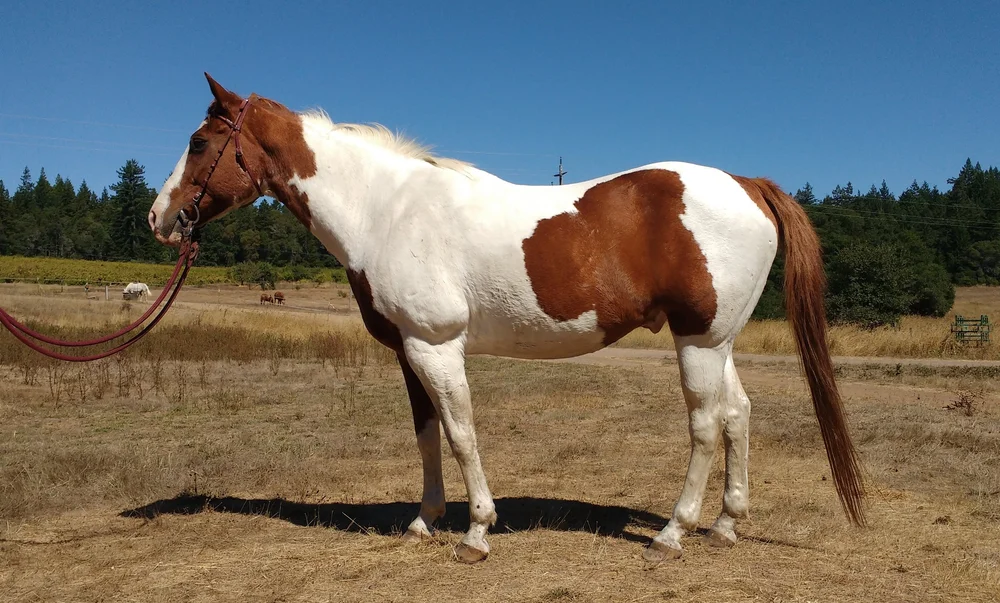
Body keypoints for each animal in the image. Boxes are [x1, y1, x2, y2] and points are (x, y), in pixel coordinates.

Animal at [147, 74, 865, 564]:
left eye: (200, 141)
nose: (159, 217)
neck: (386, 209)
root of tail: (747, 184)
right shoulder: (409, 350)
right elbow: (427, 434)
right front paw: (424, 520)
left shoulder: (437, 345)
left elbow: (462, 433)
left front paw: (476, 532)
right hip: (717, 340)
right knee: (739, 414)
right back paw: (724, 524)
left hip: (698, 342)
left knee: (707, 426)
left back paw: (673, 531)